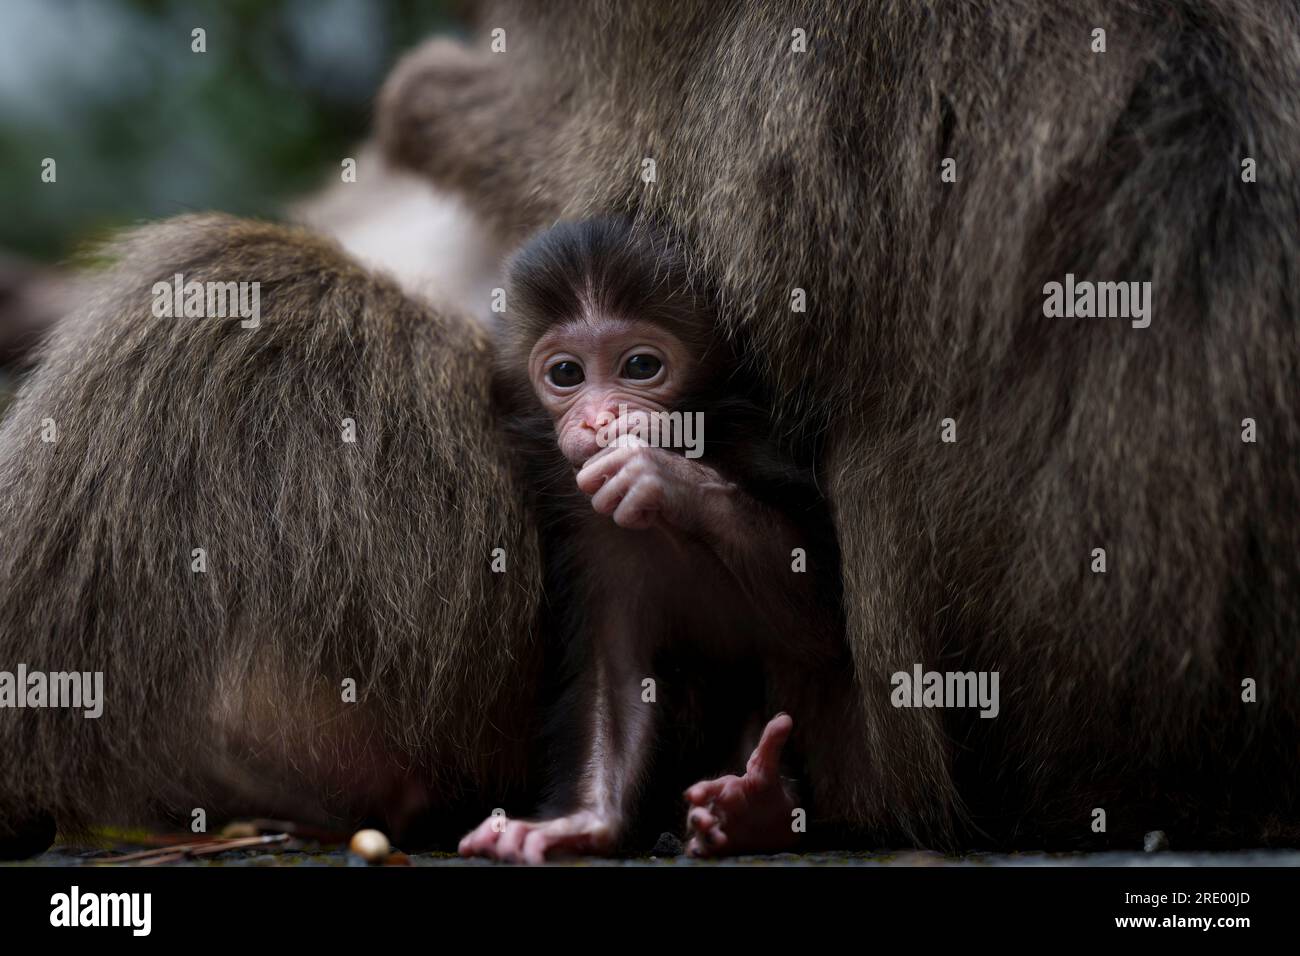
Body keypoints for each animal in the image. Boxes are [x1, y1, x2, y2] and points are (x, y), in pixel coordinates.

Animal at [457, 218, 847, 861]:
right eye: (566, 374)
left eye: (640, 366)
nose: (600, 419)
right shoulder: (592, 534)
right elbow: (616, 672)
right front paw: (578, 824)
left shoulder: (758, 447)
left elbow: (827, 628)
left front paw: (665, 478)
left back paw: (759, 807)